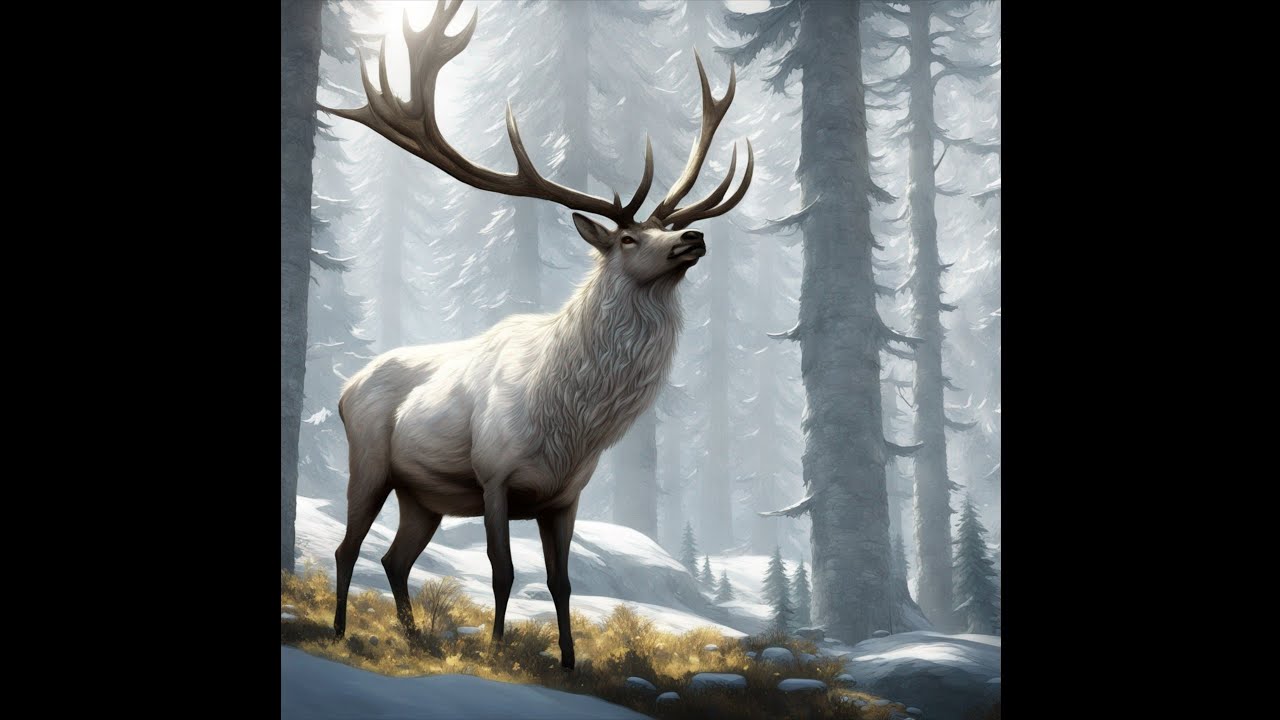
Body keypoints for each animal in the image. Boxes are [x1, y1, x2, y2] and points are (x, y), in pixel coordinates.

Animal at [319, 0, 751, 670]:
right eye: (630, 238)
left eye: (665, 227)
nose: (693, 237)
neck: (570, 426)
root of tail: (344, 388)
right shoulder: (494, 475)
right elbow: (502, 571)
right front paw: (499, 651)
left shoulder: (565, 498)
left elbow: (561, 581)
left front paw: (570, 663)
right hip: (369, 462)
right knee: (347, 548)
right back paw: (341, 631)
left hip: (424, 497)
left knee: (395, 558)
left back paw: (415, 637)